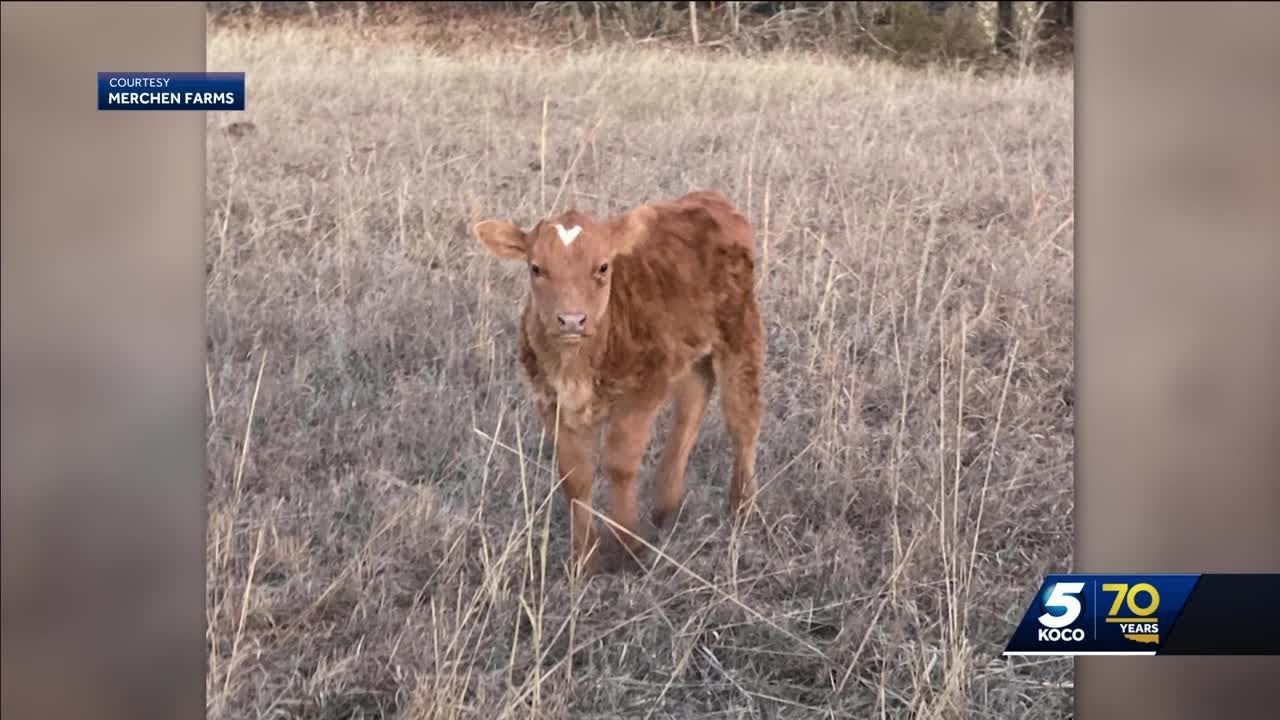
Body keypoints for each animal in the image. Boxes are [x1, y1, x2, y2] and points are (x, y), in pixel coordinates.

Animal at [471, 190, 765, 575]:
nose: (571, 319)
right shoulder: (550, 402)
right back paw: (666, 506)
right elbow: (574, 476)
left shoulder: (642, 391)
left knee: (742, 420)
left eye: (602, 267)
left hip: (740, 333)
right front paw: (584, 558)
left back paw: (741, 508)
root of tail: (709, 198)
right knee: (691, 404)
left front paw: (628, 545)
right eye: (536, 268)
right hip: (691, 353)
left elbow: (620, 463)